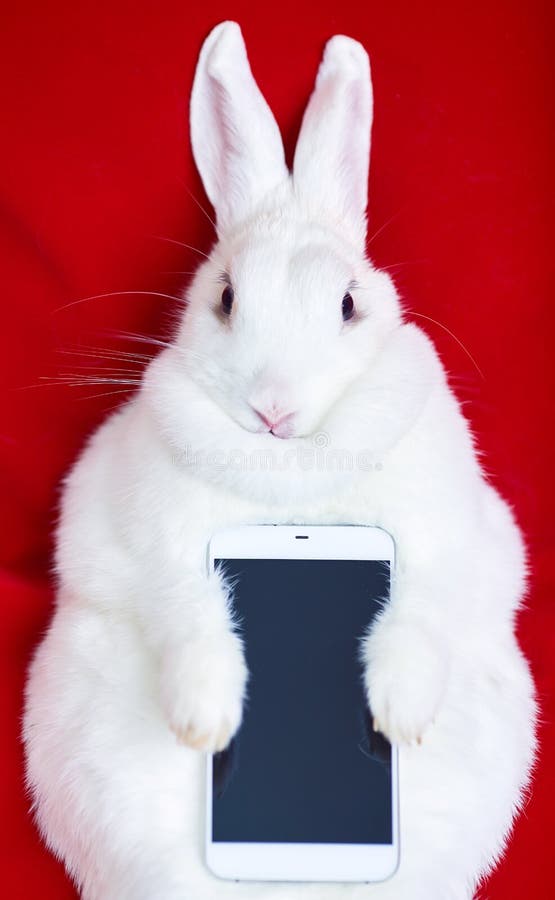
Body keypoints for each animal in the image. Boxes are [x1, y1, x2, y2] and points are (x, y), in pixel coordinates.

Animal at [23, 20, 537, 900]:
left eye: (348, 303)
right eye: (225, 298)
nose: (273, 409)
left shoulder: (442, 534)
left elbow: (419, 607)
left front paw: (400, 712)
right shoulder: (158, 540)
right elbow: (188, 609)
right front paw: (205, 718)